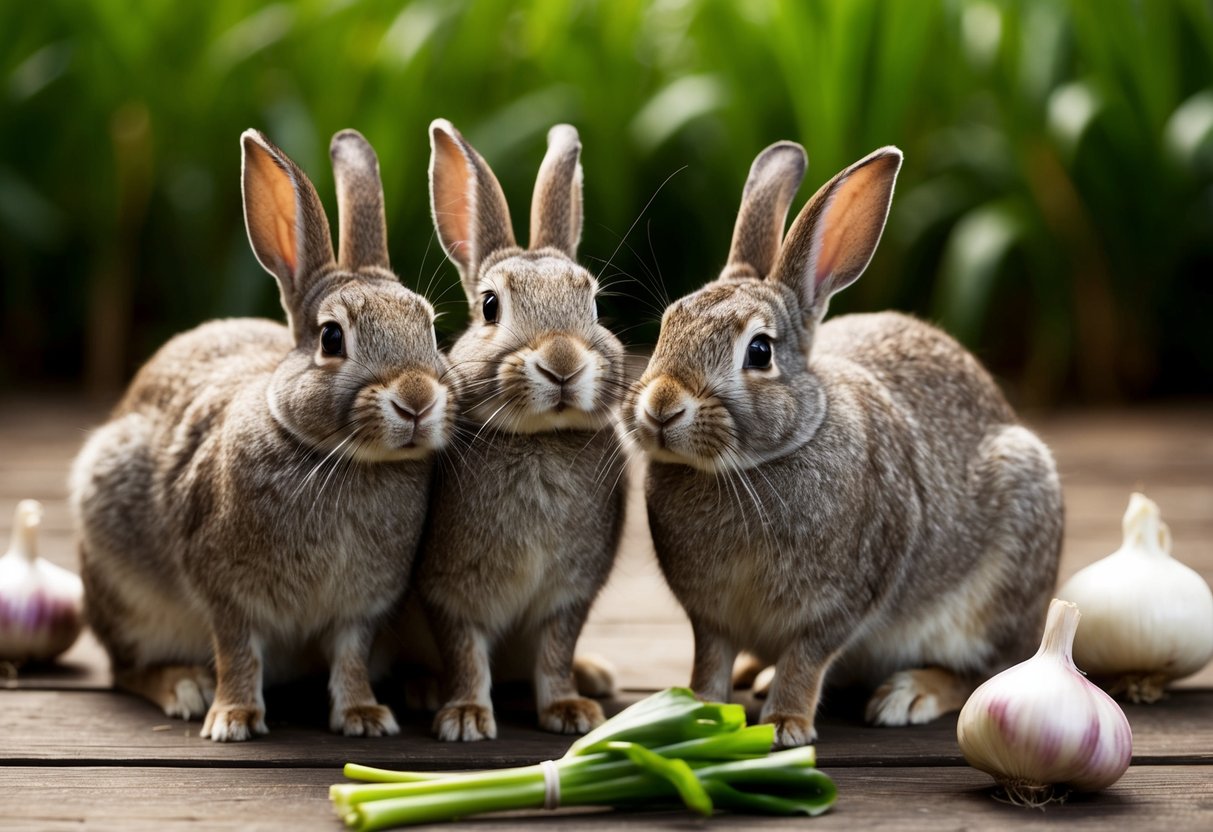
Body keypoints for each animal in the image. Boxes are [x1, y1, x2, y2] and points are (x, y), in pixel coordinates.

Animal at [68, 128, 453, 742]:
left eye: (432, 329)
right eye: (331, 338)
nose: (416, 399)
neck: (340, 458)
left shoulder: (362, 608)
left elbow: (350, 658)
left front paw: (365, 717)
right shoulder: (224, 591)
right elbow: (237, 651)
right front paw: (233, 719)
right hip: (121, 582)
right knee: (126, 669)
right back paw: (182, 687)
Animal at [413, 119, 627, 741]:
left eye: (594, 305)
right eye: (490, 306)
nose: (562, 362)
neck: (538, 439)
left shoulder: (569, 595)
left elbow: (555, 652)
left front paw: (569, 711)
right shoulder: (449, 592)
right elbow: (465, 652)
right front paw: (464, 717)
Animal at [621, 141, 1064, 748]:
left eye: (759, 351)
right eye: (669, 324)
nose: (662, 406)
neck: (755, 464)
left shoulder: (841, 603)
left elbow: (807, 658)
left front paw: (784, 724)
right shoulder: (710, 618)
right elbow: (710, 659)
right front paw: (698, 709)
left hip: (1008, 562)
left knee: (984, 669)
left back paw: (910, 694)